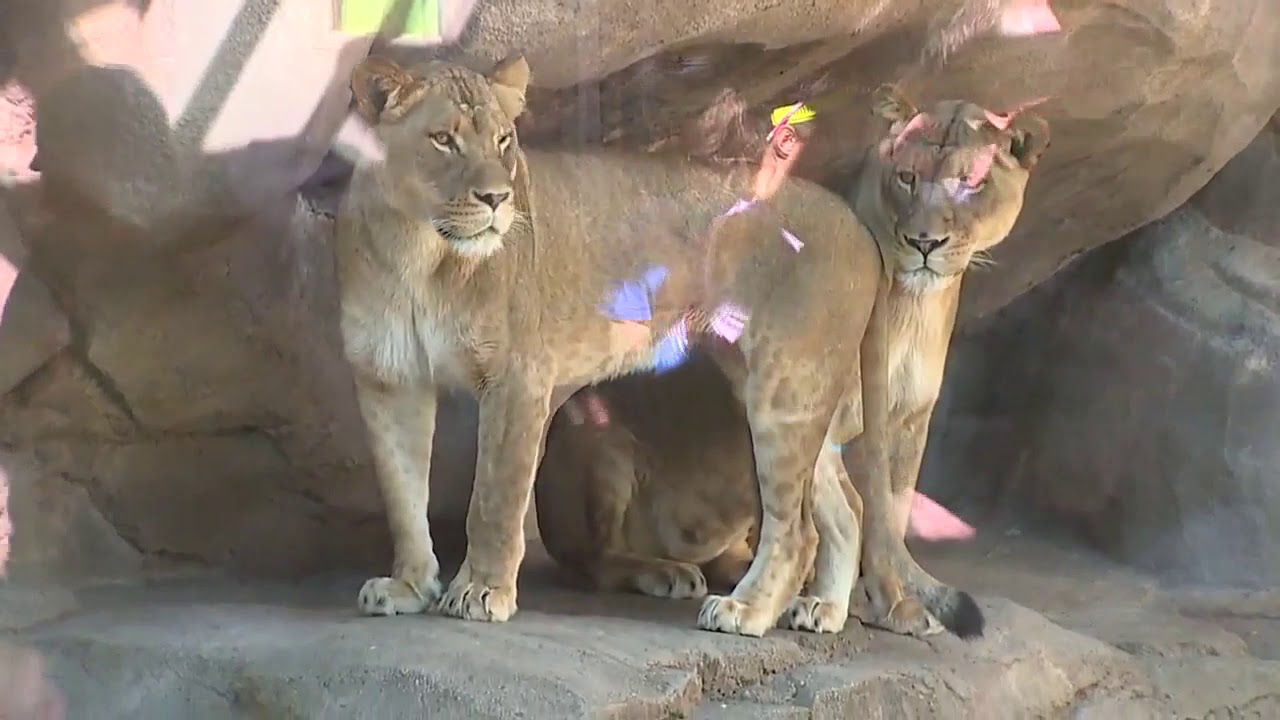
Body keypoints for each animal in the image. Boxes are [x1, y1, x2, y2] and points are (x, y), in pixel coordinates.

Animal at [335, 54, 896, 638]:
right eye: (443, 139)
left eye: (503, 141)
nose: (497, 199)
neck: (419, 253)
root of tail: (857, 223)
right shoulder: (388, 379)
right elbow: (402, 495)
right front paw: (408, 585)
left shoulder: (517, 379)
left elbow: (493, 498)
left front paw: (480, 591)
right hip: (782, 390)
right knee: (847, 507)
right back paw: (822, 607)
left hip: (786, 388)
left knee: (797, 527)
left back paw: (747, 610)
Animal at [535, 86, 1050, 639]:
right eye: (907, 177)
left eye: (971, 183)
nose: (924, 242)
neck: (909, 306)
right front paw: (811, 599)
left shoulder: (906, 420)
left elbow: (885, 517)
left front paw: (890, 605)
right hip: (600, 447)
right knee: (588, 557)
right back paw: (666, 572)